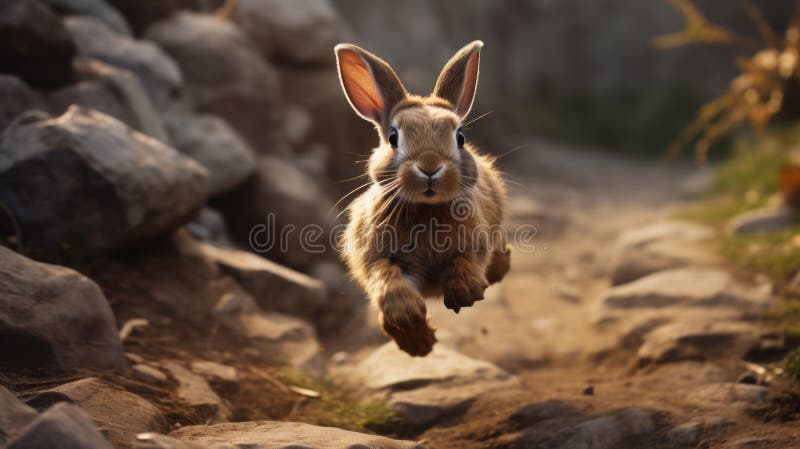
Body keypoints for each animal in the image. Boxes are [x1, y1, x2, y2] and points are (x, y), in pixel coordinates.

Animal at [335, 41, 510, 356]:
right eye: (393, 137)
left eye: (460, 137)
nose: (430, 167)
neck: (427, 210)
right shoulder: (377, 255)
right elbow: (386, 278)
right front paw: (407, 315)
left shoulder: (474, 241)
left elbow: (467, 260)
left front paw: (465, 291)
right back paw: (417, 344)